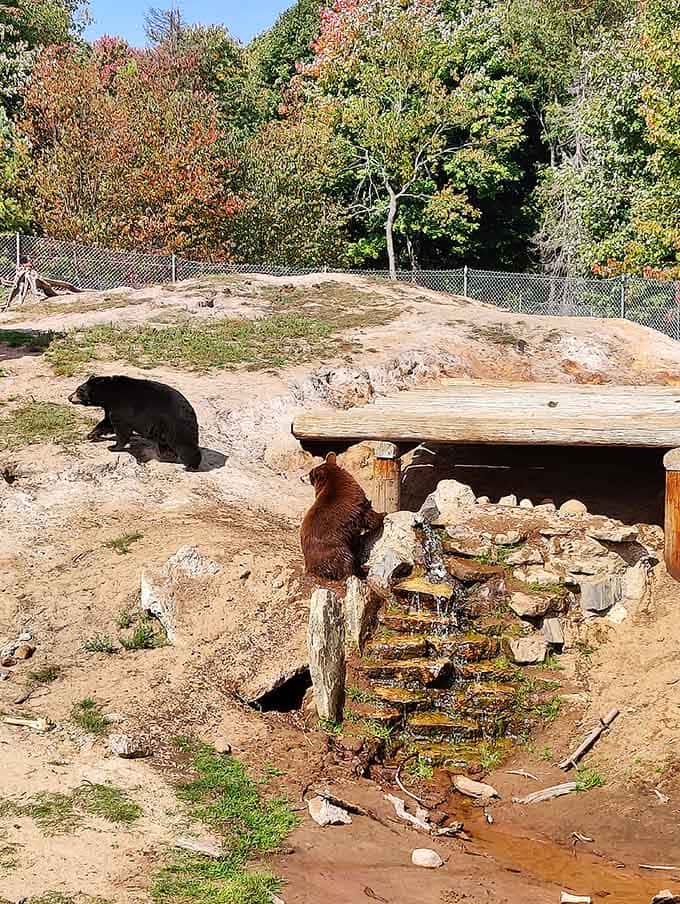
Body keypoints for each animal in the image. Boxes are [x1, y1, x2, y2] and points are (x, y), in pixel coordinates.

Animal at [68, 374, 202, 470]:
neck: (109, 393)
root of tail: (190, 411)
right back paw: (167, 455)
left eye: (79, 391)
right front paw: (91, 434)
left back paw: (191, 465)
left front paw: (113, 447)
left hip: (175, 425)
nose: (69, 397)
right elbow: (106, 423)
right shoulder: (110, 407)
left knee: (184, 445)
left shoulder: (122, 408)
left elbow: (121, 429)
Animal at [300, 452, 385, 580]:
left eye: (310, 473)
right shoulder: (357, 504)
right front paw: (383, 515)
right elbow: (368, 516)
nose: (301, 477)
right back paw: (361, 571)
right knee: (347, 561)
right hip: (335, 547)